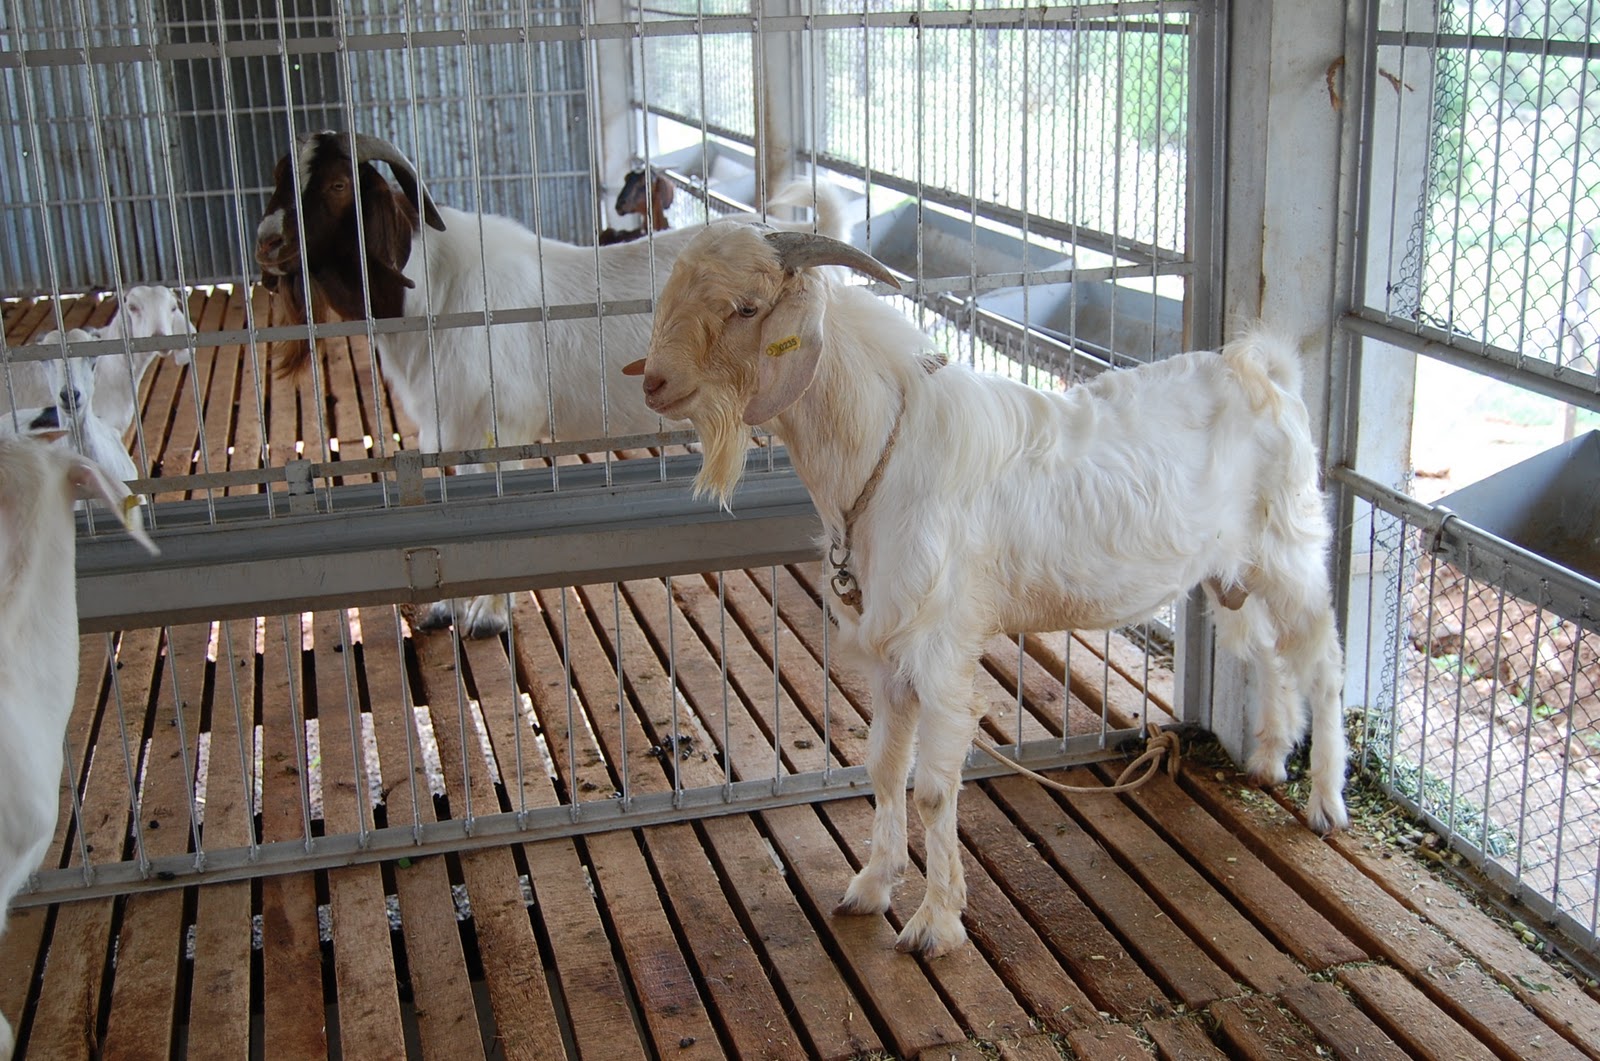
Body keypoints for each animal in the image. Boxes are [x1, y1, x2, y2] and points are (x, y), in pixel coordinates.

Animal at [255, 130, 840, 637]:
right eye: (279, 176)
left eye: (337, 185)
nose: (267, 243)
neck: (434, 295)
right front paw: (445, 609)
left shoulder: (500, 425)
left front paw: (487, 616)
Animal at [630, 225, 1349, 957]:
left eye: (746, 307)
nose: (655, 382)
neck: (880, 453)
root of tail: (1264, 372)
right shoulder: (888, 653)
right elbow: (883, 769)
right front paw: (871, 886)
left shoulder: (942, 650)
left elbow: (931, 790)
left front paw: (935, 923)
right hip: (1232, 571)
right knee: (1265, 652)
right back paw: (1267, 759)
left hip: (1291, 549)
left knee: (1320, 661)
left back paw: (1324, 803)